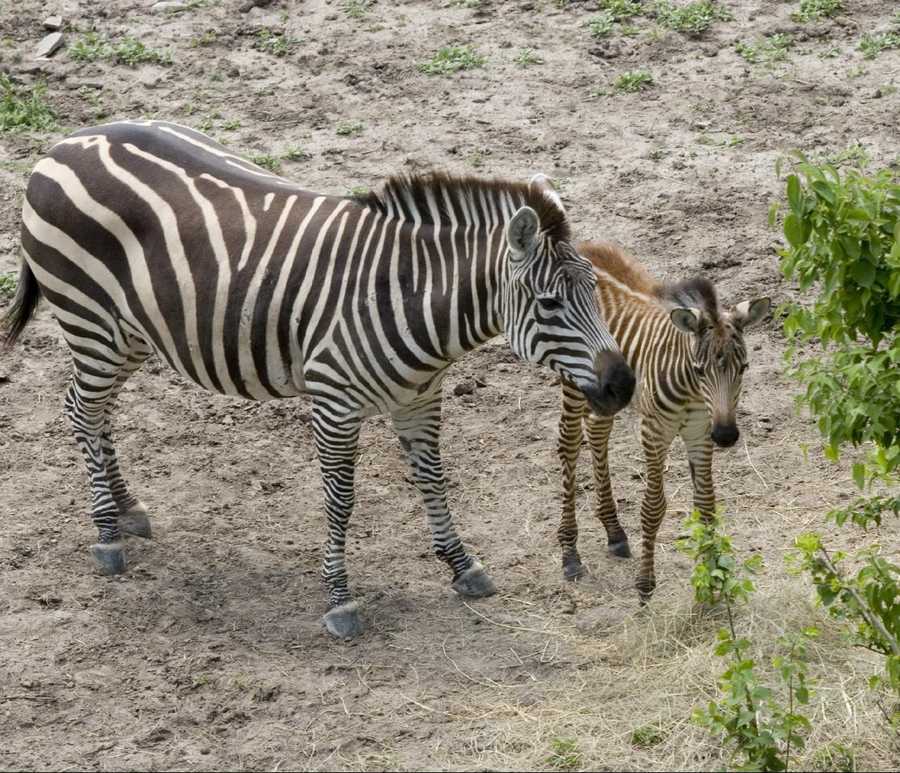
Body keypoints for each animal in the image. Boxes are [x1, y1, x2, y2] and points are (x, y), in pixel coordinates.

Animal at [1, 120, 636, 638]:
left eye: (595, 291)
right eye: (550, 303)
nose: (622, 386)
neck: (410, 297)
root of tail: (63, 144)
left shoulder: (420, 397)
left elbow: (434, 480)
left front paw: (463, 566)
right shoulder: (333, 403)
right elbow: (341, 500)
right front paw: (339, 601)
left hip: (131, 333)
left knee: (97, 411)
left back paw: (127, 508)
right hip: (92, 323)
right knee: (80, 410)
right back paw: (107, 534)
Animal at [555, 241, 769, 602]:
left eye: (744, 368)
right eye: (700, 370)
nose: (726, 436)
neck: (693, 391)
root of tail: (581, 247)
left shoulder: (700, 432)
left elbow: (707, 505)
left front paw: (712, 588)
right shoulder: (654, 432)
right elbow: (653, 507)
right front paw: (645, 586)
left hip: (609, 393)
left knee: (597, 432)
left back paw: (614, 532)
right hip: (574, 384)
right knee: (569, 445)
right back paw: (570, 553)